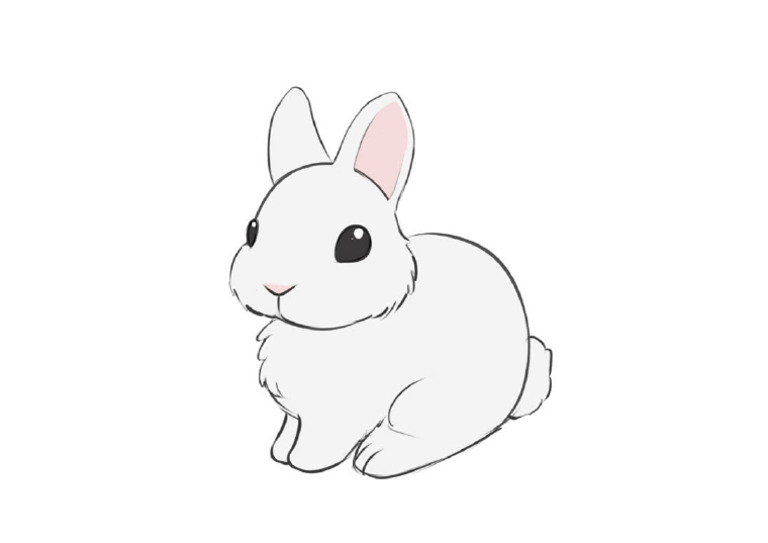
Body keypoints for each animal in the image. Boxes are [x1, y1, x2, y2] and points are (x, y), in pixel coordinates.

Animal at [229, 87, 552, 478]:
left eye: (355, 242)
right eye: (252, 230)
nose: (276, 286)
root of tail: (521, 381)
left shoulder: (338, 414)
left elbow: (320, 441)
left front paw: (304, 463)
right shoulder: (297, 412)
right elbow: (290, 427)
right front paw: (279, 452)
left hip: (421, 403)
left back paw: (378, 455)